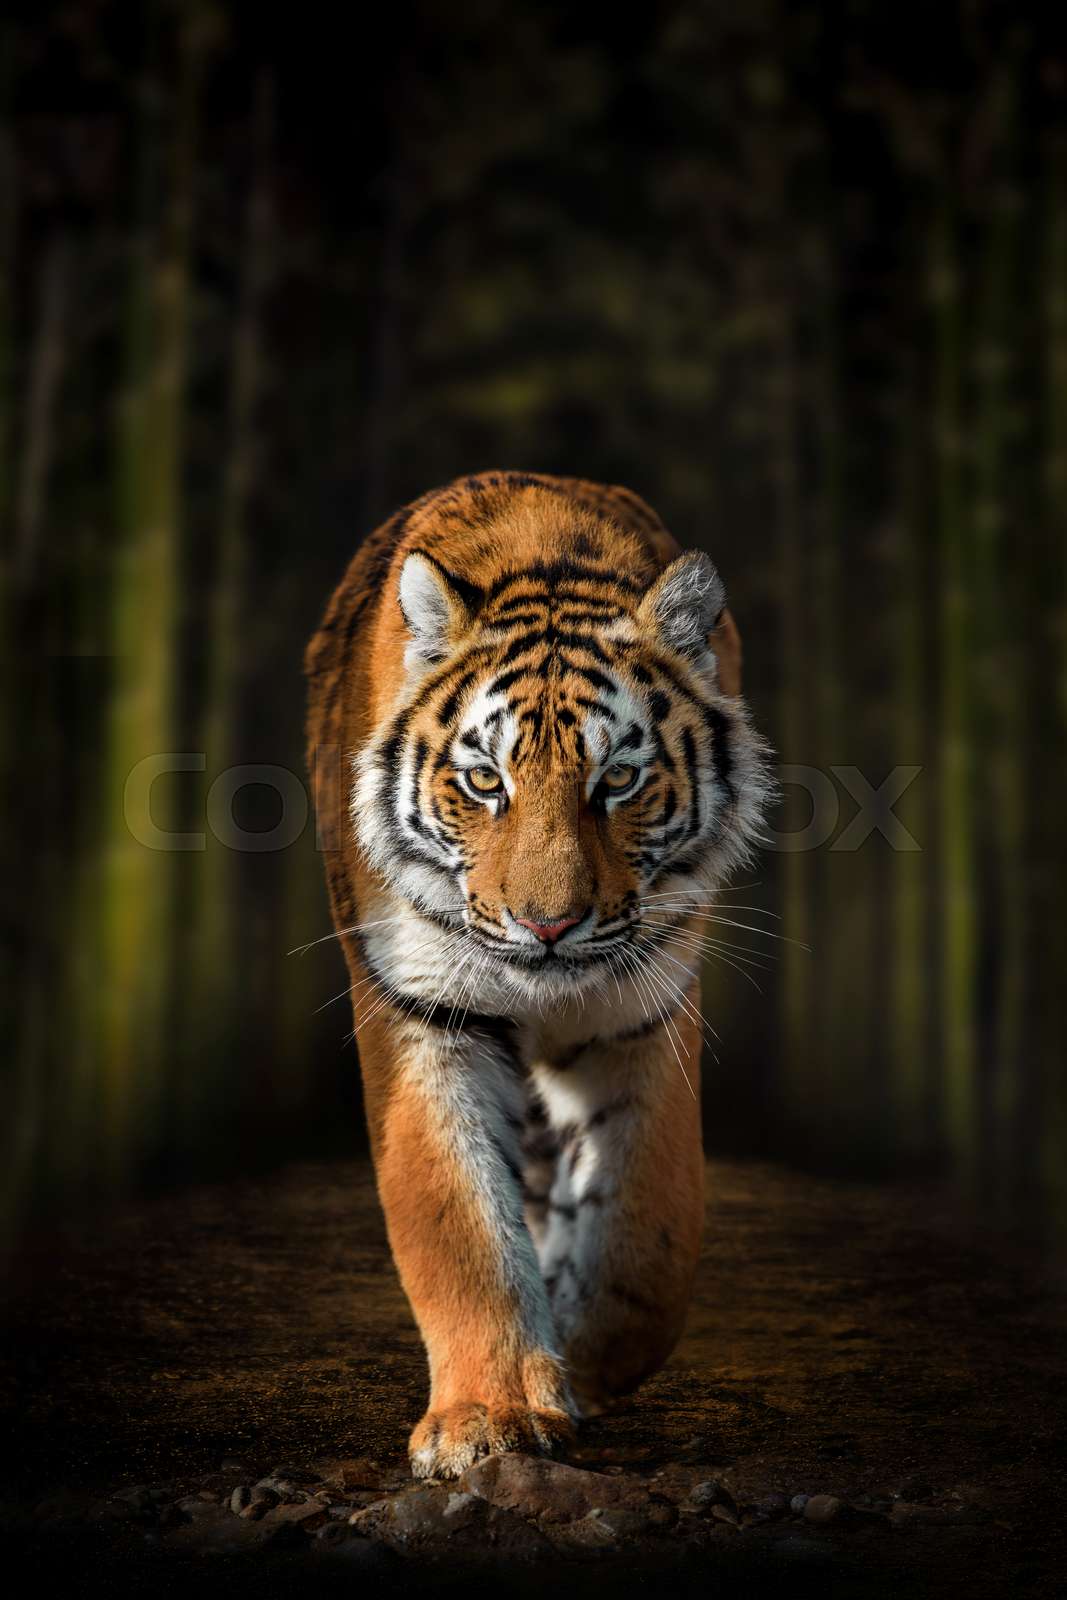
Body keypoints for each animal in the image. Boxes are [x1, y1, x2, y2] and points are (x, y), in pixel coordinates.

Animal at [305, 470, 772, 1480]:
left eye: (619, 780)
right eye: (485, 782)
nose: (547, 925)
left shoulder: (647, 1004)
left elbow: (649, 1225)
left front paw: (587, 1363)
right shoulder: (423, 1011)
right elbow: (458, 1223)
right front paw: (492, 1418)